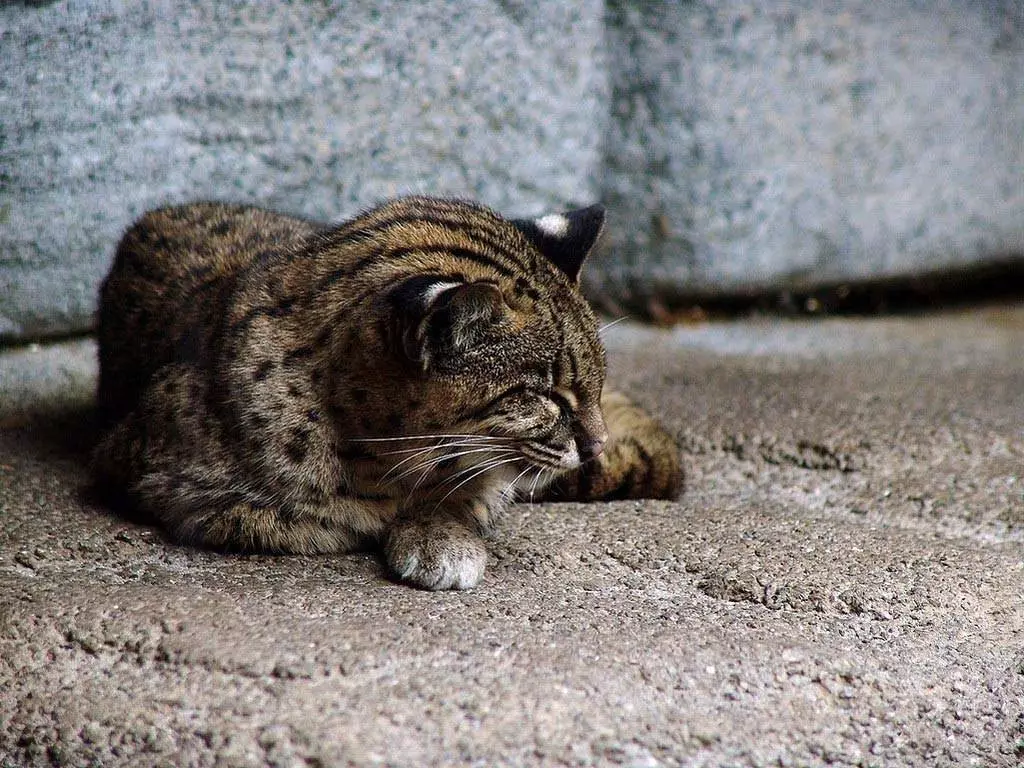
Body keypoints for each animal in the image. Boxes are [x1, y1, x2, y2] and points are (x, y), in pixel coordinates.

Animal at [92, 196, 684, 589]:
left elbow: (474, 492)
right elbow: (302, 518)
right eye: (547, 395)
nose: (597, 445)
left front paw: (439, 528)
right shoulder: (150, 474)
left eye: (595, 384)